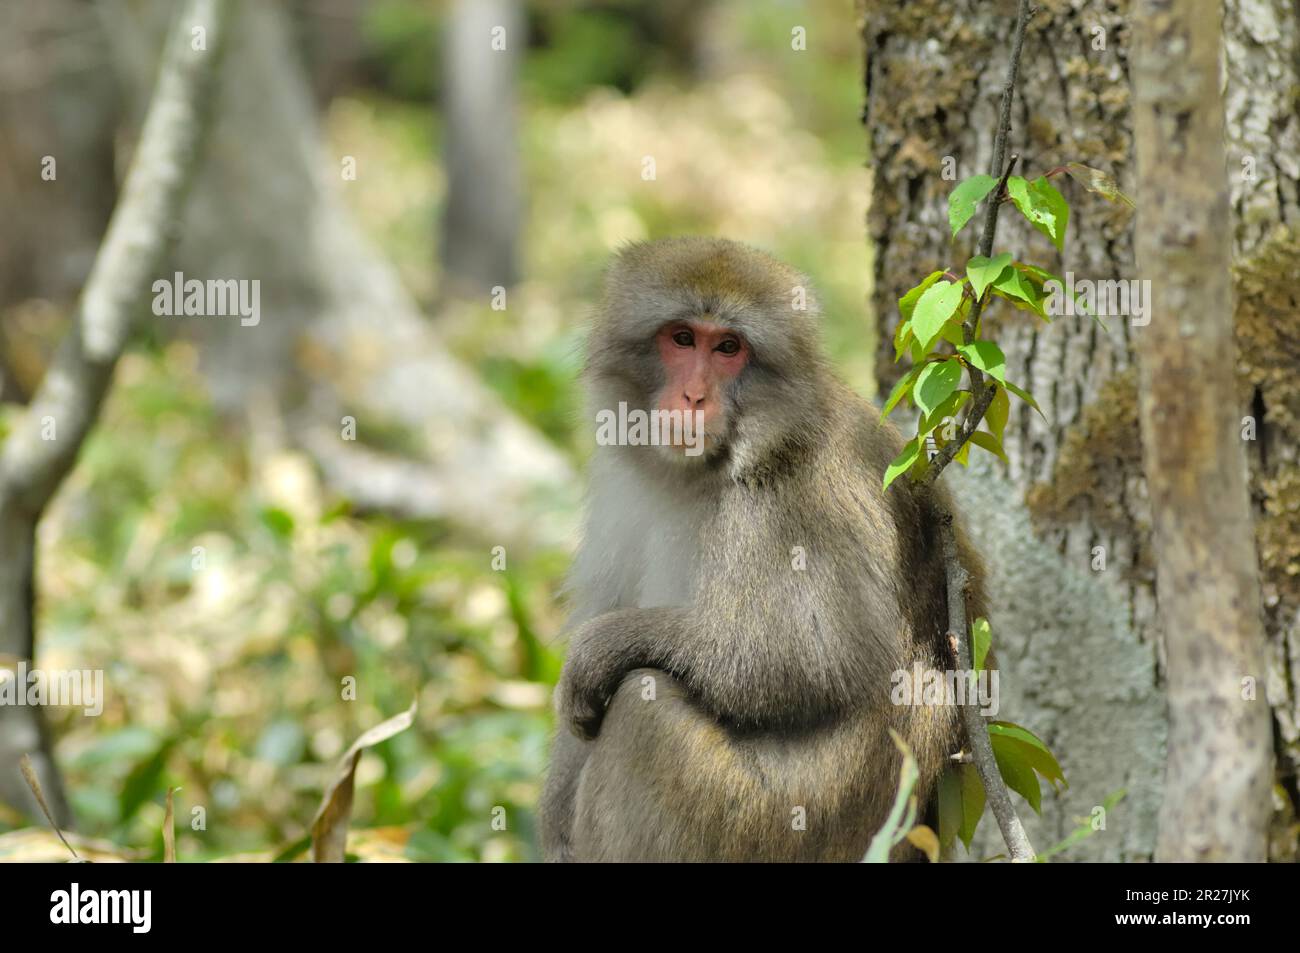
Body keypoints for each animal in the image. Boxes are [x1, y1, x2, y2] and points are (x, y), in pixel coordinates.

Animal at [538, 237, 987, 862]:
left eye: (729, 348)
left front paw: (599, 652)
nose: (693, 396)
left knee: (643, 711)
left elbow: (806, 658)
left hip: (773, 825)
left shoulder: (789, 501)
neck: (703, 472)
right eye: (683, 338)